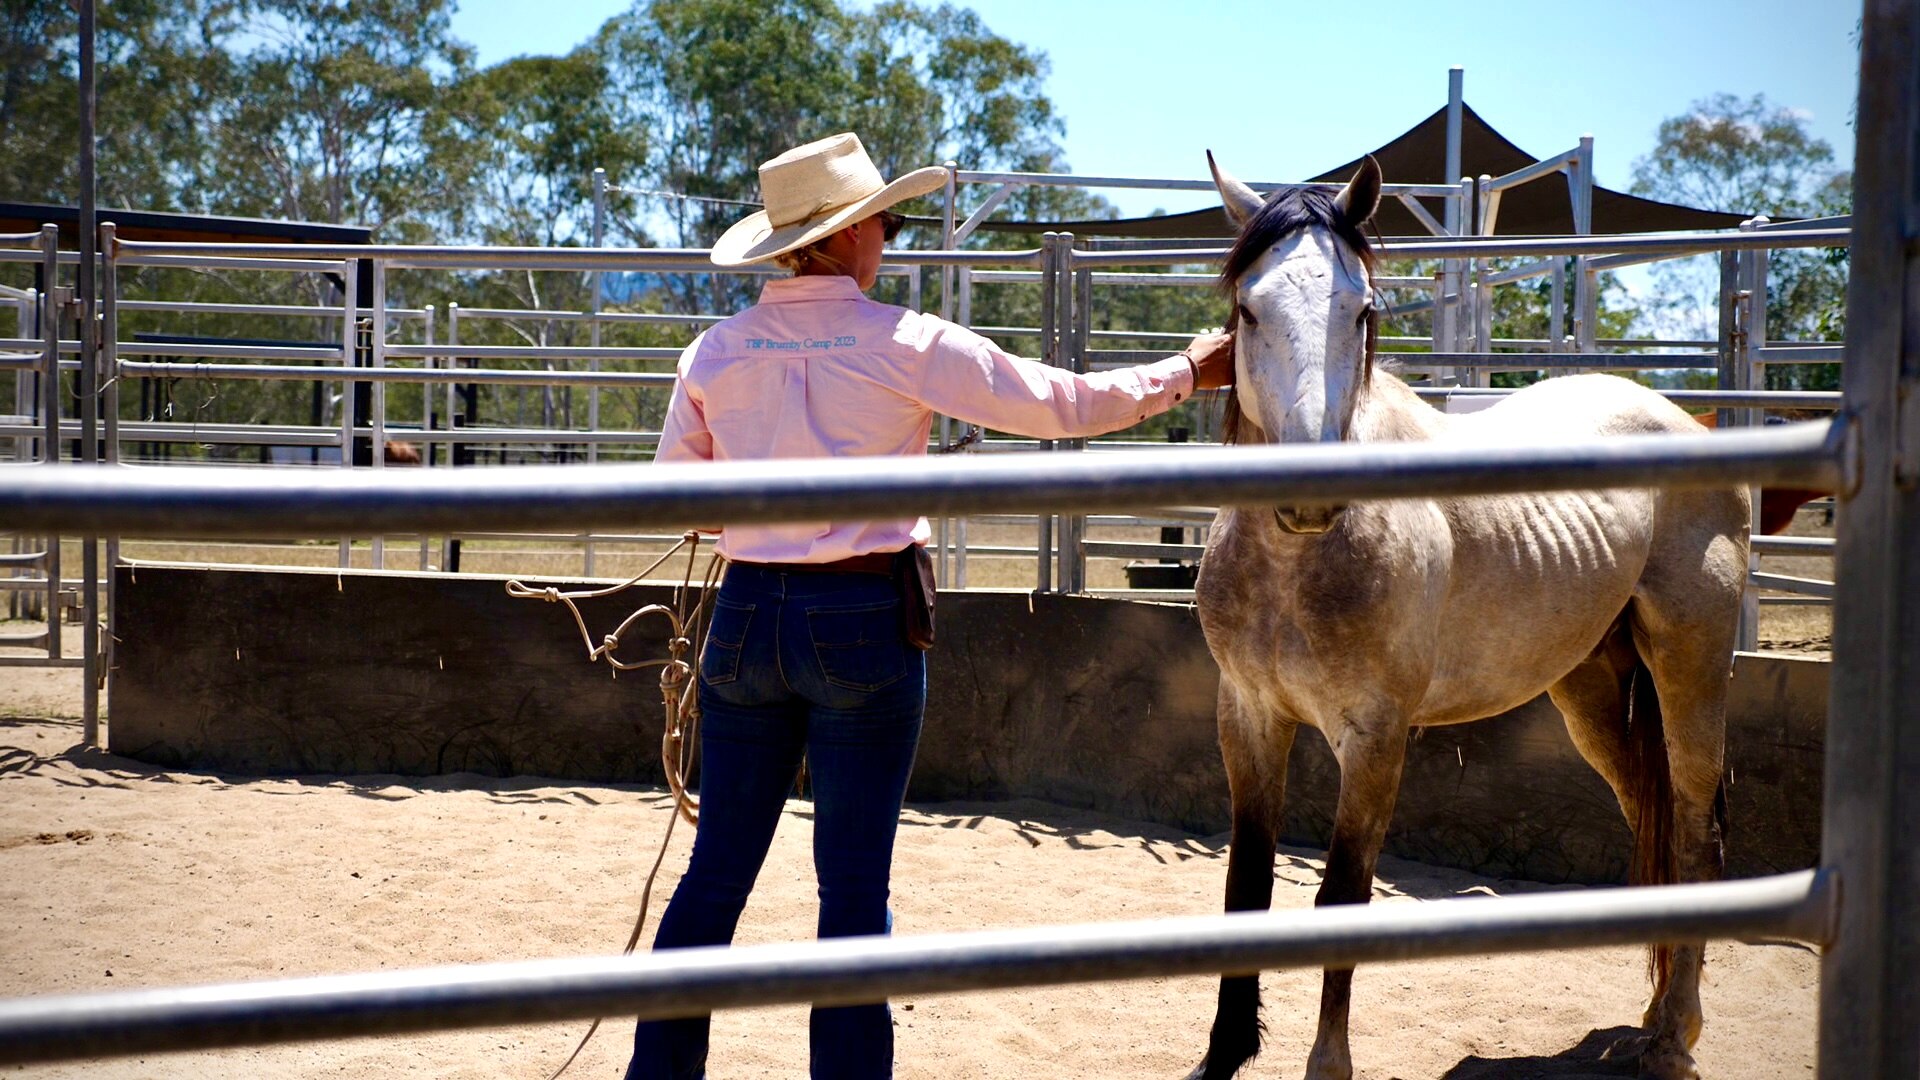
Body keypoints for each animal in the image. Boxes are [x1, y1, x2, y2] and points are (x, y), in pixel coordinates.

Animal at [1188, 154, 1749, 1080]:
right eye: (1248, 309)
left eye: (1362, 310)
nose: (1309, 491)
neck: (1297, 563)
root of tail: (1683, 420)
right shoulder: (1249, 715)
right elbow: (1247, 884)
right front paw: (1225, 1050)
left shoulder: (1375, 736)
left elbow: (1341, 894)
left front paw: (1327, 1063)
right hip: (1592, 695)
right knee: (1654, 819)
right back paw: (1656, 1011)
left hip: (1689, 669)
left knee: (1698, 828)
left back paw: (1675, 1034)